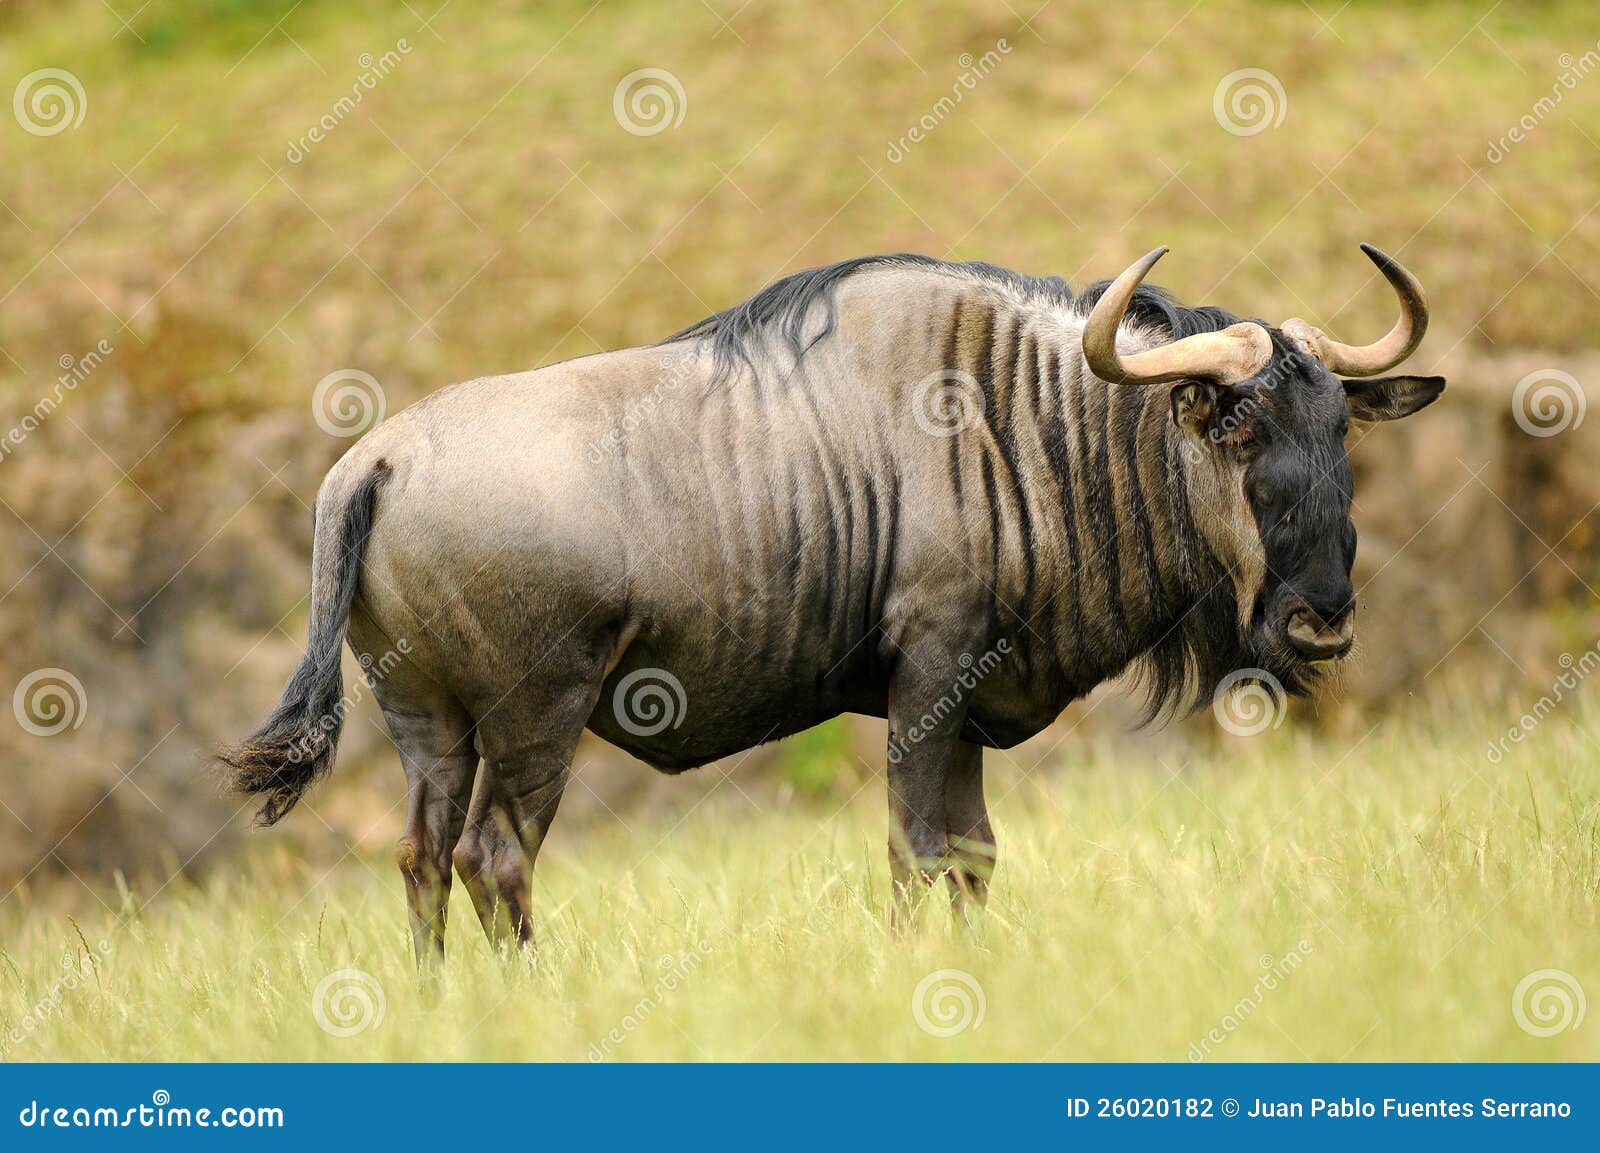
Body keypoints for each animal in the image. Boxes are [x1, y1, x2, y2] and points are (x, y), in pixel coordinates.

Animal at [217, 244, 1444, 967]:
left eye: (1338, 427)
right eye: (1230, 424)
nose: (1320, 622)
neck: (1019, 420)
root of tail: (372, 460)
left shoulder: (970, 699)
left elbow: (974, 852)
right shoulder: (927, 681)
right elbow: (914, 847)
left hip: (431, 727)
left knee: (423, 861)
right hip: (535, 719)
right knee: (493, 859)